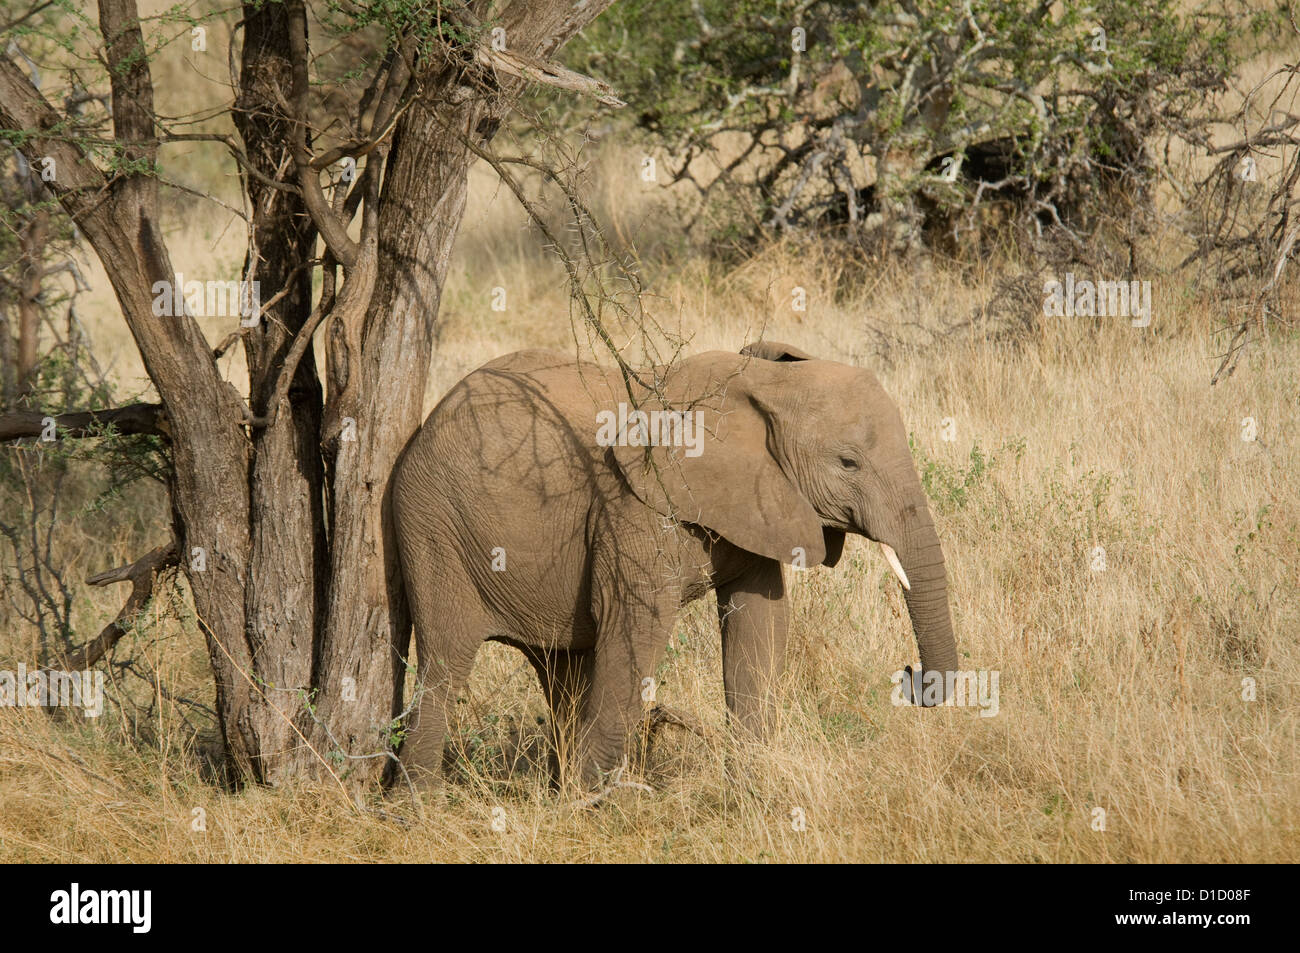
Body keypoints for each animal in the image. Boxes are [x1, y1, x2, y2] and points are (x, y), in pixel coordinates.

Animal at [391, 340, 958, 790]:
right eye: (848, 463)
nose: (910, 675)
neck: (759, 383)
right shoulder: (634, 507)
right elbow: (637, 629)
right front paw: (598, 803)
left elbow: (761, 626)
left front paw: (749, 789)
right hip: (433, 524)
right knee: (444, 665)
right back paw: (416, 807)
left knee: (562, 670)